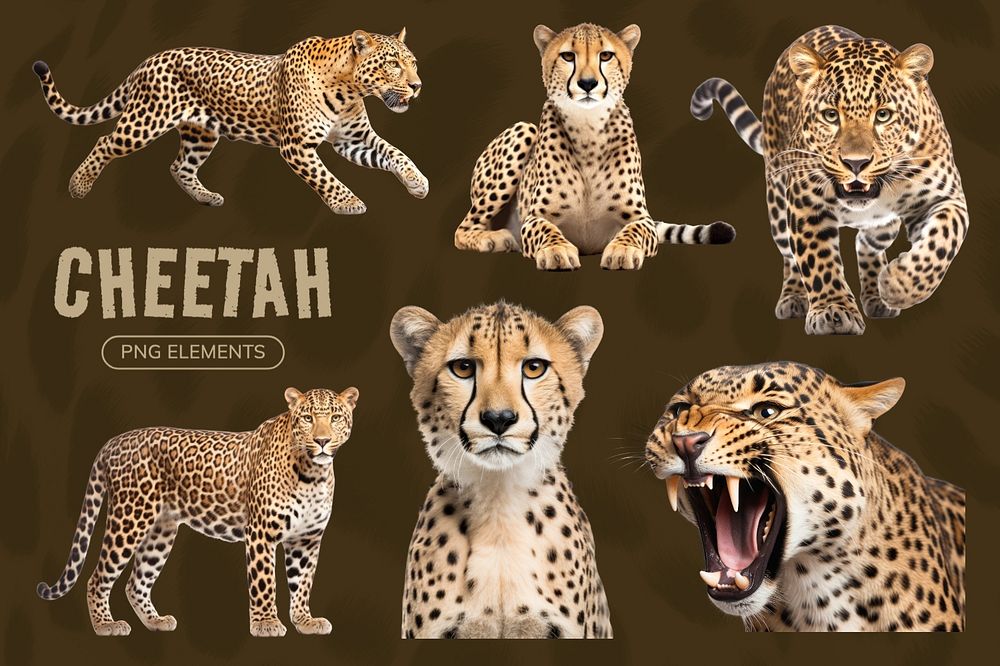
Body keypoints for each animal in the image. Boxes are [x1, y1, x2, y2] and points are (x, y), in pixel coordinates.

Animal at [32, 28, 427, 214]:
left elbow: (396, 154)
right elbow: (325, 177)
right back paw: (78, 186)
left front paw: (417, 182)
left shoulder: (353, 139)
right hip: (146, 119)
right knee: (105, 142)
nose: (417, 86)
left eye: (414, 63)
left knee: (179, 166)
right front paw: (348, 203)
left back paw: (206, 198)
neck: (349, 89)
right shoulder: (296, 145)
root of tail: (147, 61)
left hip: (201, 133)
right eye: (393, 64)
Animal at [37, 386, 359, 637]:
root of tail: (114, 441)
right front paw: (266, 623)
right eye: (307, 418)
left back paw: (155, 621)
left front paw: (305, 621)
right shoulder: (261, 533)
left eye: (335, 417)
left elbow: (302, 582)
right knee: (97, 578)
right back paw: (106, 625)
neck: (313, 474)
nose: (321, 441)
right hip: (129, 519)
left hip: (160, 531)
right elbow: (264, 580)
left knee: (135, 582)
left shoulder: (306, 539)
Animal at [454, 23, 735, 271]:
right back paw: (496, 238)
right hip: (524, 129)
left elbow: (635, 230)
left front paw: (622, 250)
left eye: (606, 55)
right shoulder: (534, 217)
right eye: (568, 56)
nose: (587, 83)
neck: (588, 130)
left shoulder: (641, 218)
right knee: (463, 228)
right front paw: (556, 250)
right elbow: (545, 229)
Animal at [691, 25, 969, 334]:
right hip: (777, 198)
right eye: (831, 115)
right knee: (789, 253)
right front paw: (834, 311)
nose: (856, 163)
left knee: (868, 240)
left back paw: (877, 295)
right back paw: (794, 298)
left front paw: (898, 285)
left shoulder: (946, 196)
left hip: (881, 225)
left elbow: (944, 238)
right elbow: (818, 259)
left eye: (883, 115)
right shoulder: (805, 203)